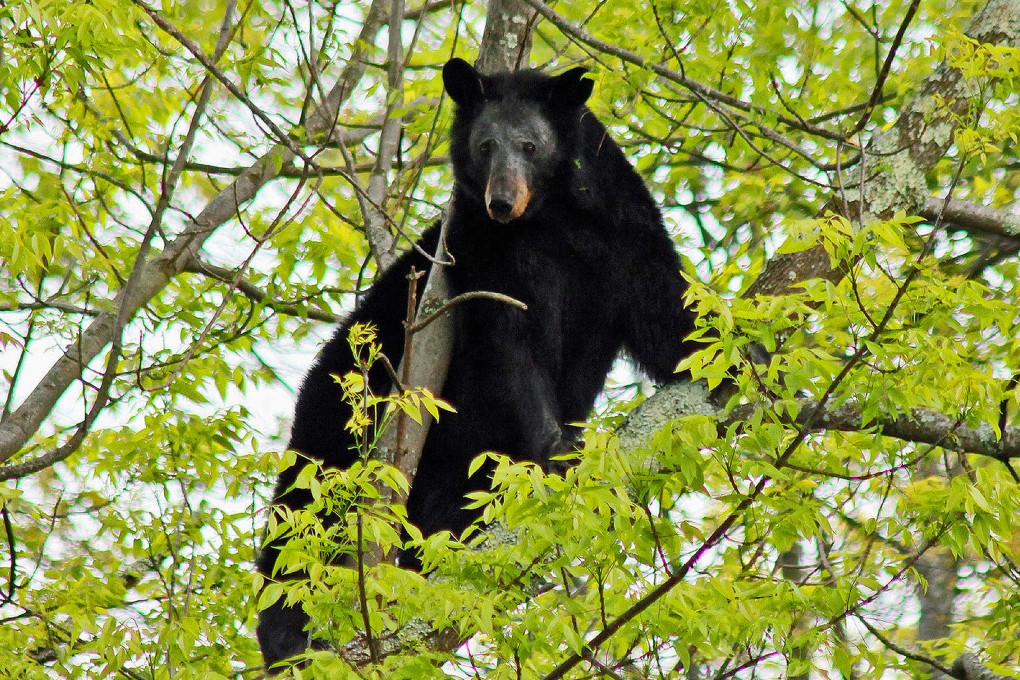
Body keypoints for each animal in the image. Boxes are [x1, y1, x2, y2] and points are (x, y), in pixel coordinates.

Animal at [255, 57, 701, 669]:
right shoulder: (482, 255)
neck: (549, 220)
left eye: (531, 145)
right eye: (485, 145)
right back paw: (289, 635)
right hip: (339, 410)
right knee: (303, 519)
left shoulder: (622, 231)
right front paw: (555, 448)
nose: (501, 201)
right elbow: (509, 347)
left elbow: (666, 312)